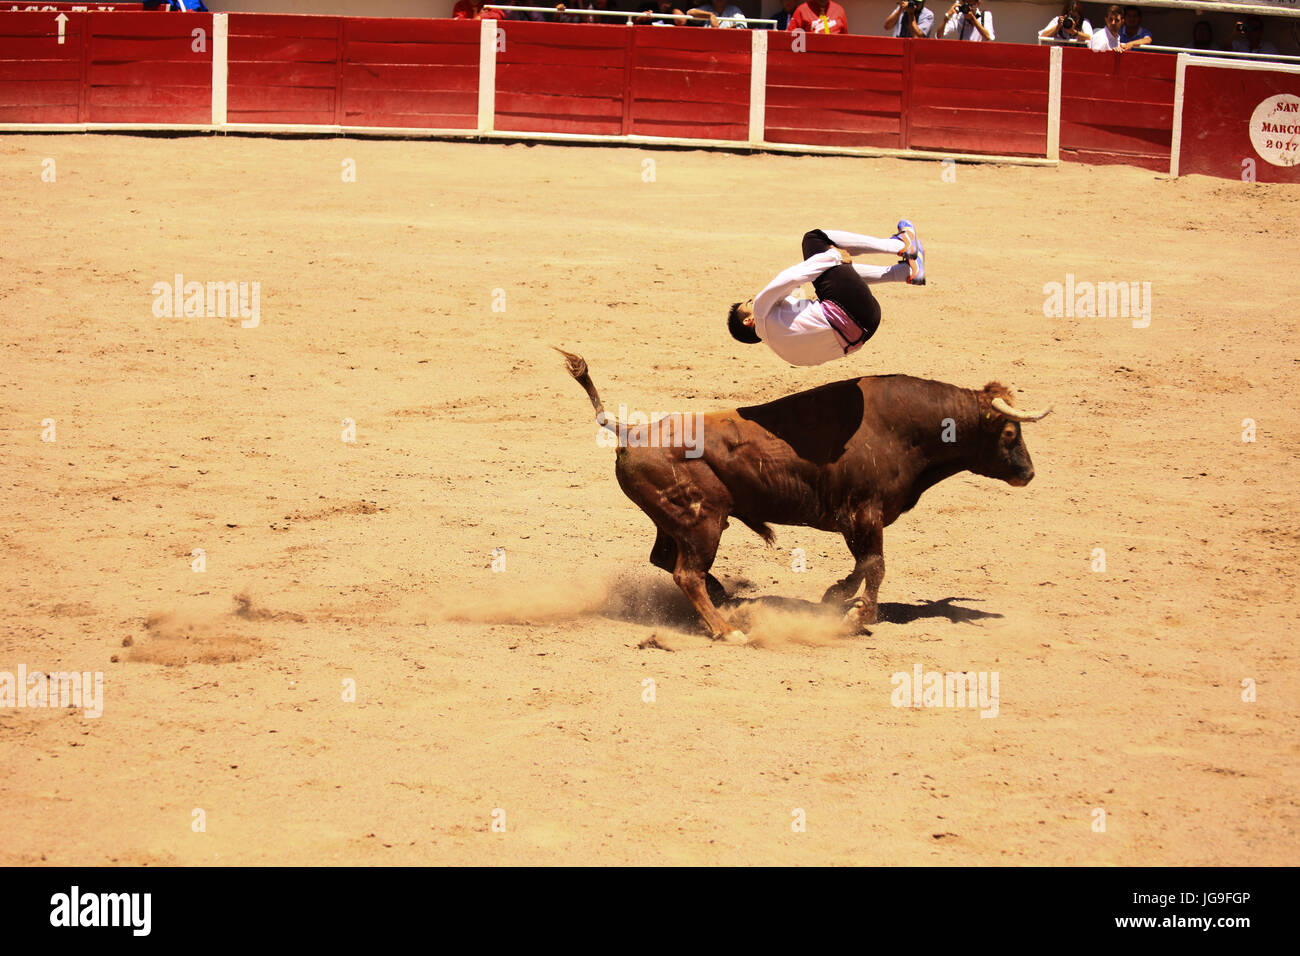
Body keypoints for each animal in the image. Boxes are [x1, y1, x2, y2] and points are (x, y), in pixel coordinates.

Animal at [555, 349, 1051, 643]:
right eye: (1010, 432)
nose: (1028, 473)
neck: (907, 428)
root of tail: (631, 431)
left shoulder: (858, 521)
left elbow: (865, 566)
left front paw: (835, 599)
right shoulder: (864, 514)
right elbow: (875, 565)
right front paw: (854, 616)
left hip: (676, 521)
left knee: (666, 561)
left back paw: (727, 600)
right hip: (704, 521)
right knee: (686, 574)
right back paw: (728, 629)